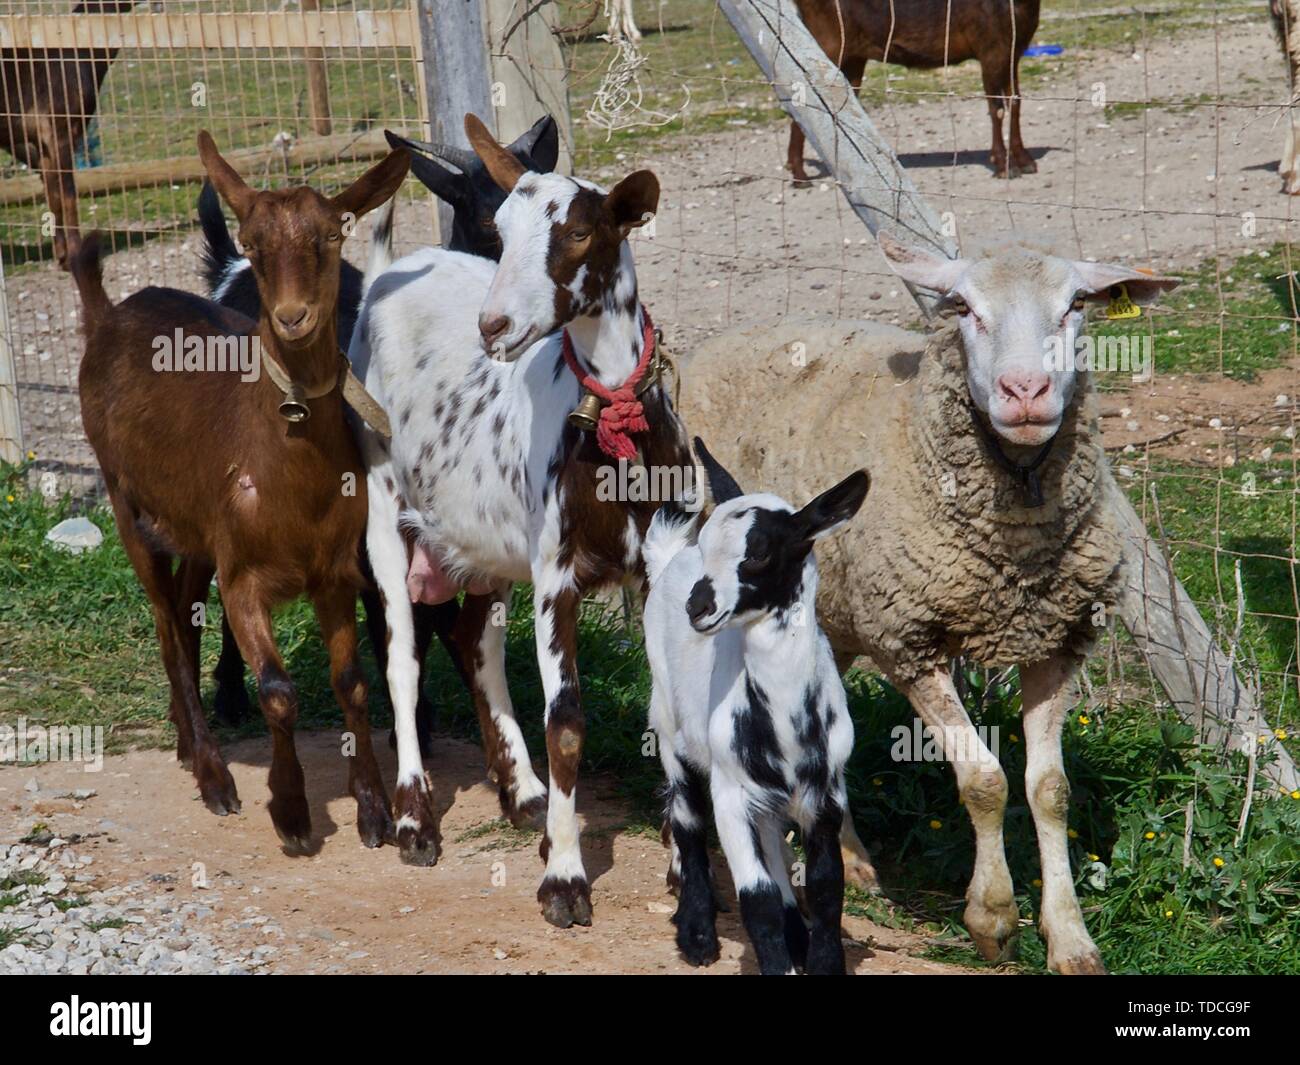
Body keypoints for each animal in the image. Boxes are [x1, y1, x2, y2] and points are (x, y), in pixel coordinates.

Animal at [0, 1, 137, 268]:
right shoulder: (61, 129)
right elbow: (69, 194)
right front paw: (74, 256)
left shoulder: (40, 142)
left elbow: (52, 194)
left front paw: (61, 256)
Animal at [74, 132, 410, 853]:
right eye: (251, 243)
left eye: (331, 235)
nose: (292, 316)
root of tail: (111, 312)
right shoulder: (245, 576)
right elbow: (278, 688)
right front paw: (291, 814)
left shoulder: (334, 570)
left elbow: (351, 683)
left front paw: (373, 811)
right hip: (125, 503)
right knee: (168, 628)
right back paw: (213, 775)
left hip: (197, 528)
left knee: (181, 611)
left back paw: (185, 740)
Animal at [351, 113, 691, 928]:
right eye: (498, 229)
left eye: (579, 233)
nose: (494, 324)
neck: (609, 425)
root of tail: (387, 276)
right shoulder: (556, 570)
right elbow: (565, 721)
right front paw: (565, 878)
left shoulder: (655, 564)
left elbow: (668, 709)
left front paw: (685, 868)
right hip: (381, 500)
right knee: (403, 657)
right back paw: (414, 817)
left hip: (484, 541)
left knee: (475, 641)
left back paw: (526, 794)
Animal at [643, 438, 868, 974]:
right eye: (707, 545)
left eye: (761, 552)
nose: (698, 607)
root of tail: (668, 561)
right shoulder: (729, 789)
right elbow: (756, 895)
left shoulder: (826, 792)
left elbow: (826, 888)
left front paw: (820, 959)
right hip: (668, 725)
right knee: (686, 819)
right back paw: (697, 932)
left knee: (767, 832)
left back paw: (795, 932)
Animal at [788, 0, 1041, 182]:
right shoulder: (990, 50)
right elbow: (997, 108)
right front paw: (1003, 166)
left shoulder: (1012, 53)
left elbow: (1015, 102)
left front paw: (1025, 160)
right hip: (827, 42)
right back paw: (800, 174)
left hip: (853, 56)